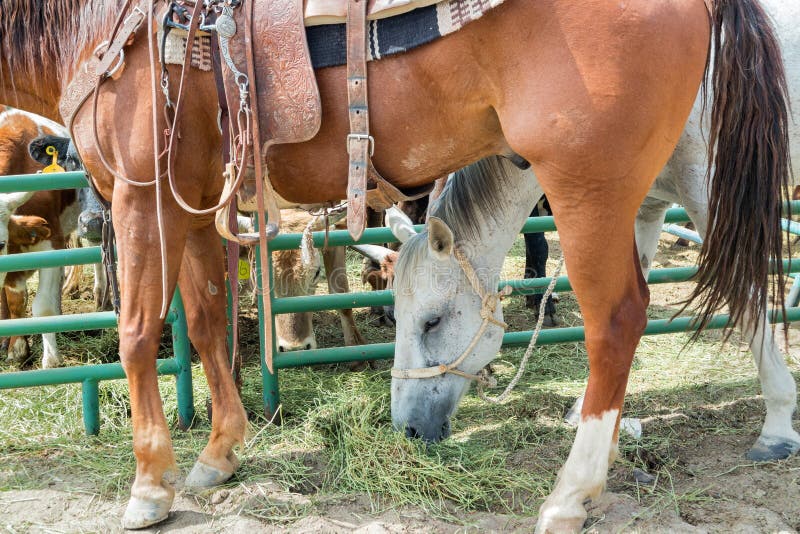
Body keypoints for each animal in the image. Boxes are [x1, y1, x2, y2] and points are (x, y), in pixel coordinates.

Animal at [1, 0, 788, 530]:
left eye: (434, 321)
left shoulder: (142, 198)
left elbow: (137, 337)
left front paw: (149, 487)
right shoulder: (192, 203)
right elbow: (201, 325)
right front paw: (218, 454)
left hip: (592, 187)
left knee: (618, 319)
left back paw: (570, 496)